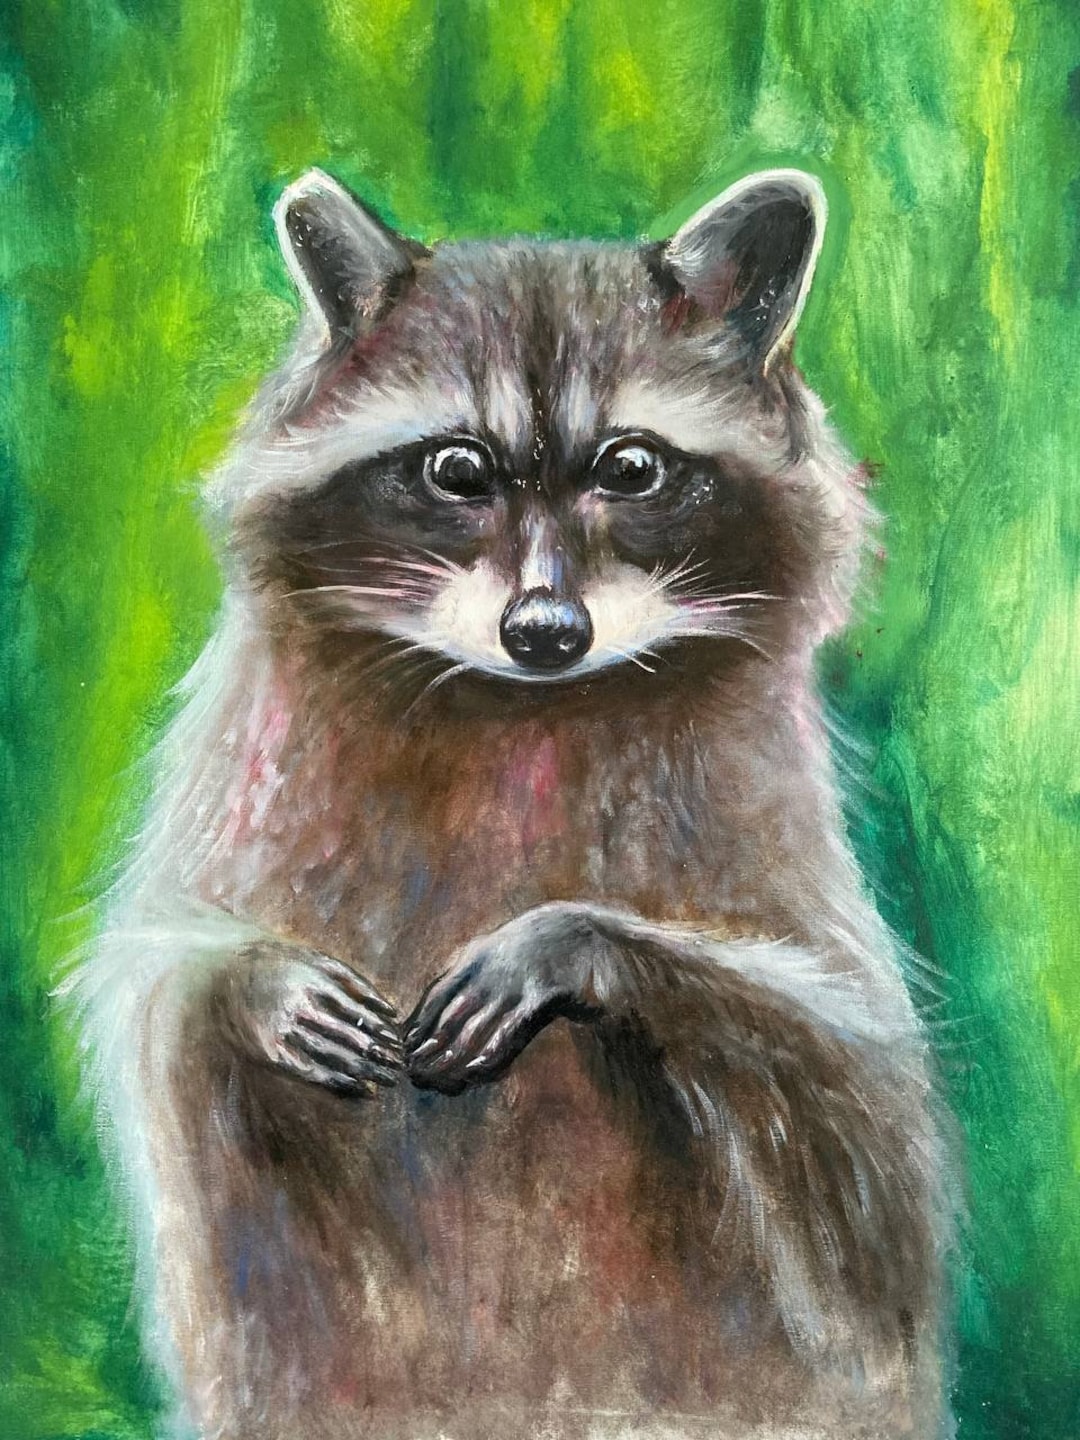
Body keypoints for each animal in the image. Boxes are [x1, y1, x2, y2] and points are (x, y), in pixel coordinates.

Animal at [76, 168, 952, 1440]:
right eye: (456, 471)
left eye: (632, 468)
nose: (546, 631)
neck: (517, 711)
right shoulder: (239, 767)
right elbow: (152, 988)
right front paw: (257, 981)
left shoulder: (774, 810)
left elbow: (864, 1137)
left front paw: (574, 939)